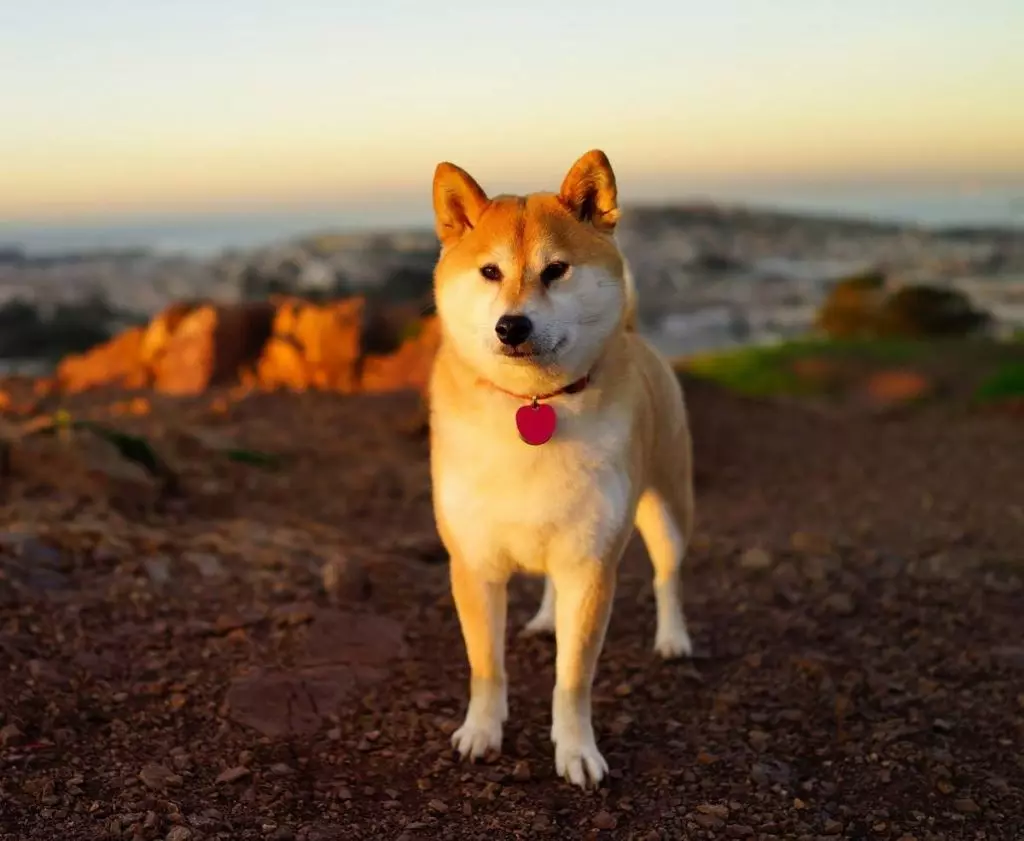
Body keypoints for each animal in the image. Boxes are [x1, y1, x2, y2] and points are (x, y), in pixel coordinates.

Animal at [423, 149, 696, 786]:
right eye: (490, 272)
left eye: (556, 271)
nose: (512, 325)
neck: (533, 405)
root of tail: (636, 334)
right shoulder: (474, 563)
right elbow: (486, 666)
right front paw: (481, 732)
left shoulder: (591, 566)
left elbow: (572, 680)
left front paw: (576, 752)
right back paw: (547, 619)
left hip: (667, 510)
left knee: (667, 575)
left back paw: (673, 638)